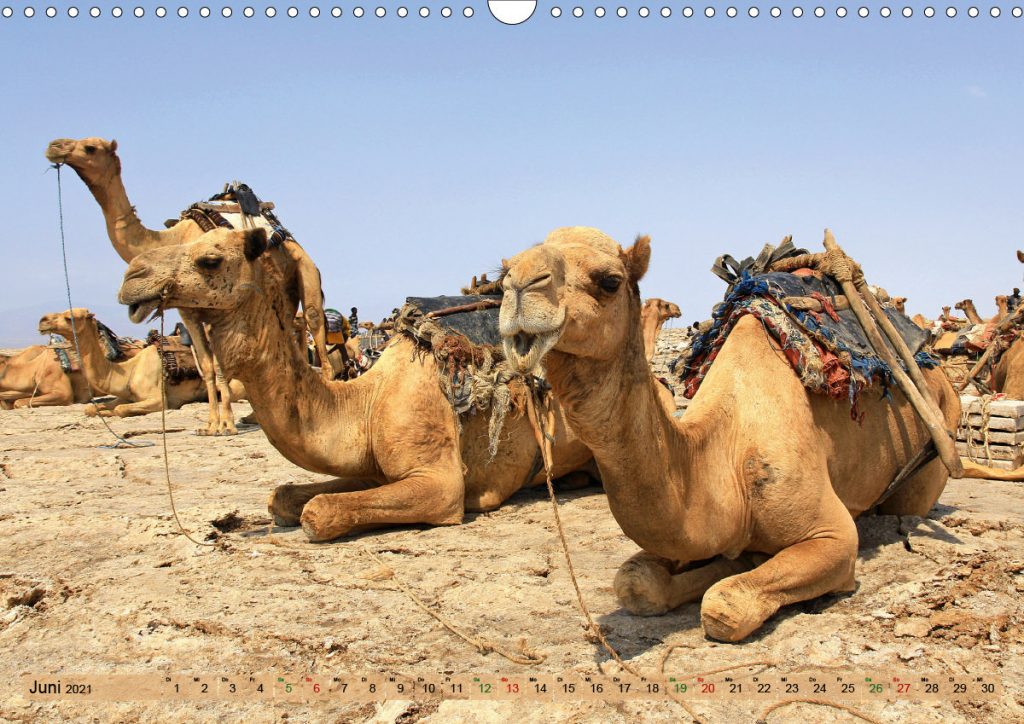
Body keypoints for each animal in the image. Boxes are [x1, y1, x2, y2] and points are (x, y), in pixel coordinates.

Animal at [38, 309, 208, 417]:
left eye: (69, 317)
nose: (42, 320)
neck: (131, 370)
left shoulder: (159, 400)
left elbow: (120, 410)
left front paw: (109, 412)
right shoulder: (126, 396)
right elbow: (91, 408)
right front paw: (103, 411)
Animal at [117, 227, 595, 542]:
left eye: (209, 259)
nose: (132, 277)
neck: (366, 400)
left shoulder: (441, 482)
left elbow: (316, 512)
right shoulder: (371, 468)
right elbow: (284, 497)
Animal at [497, 226, 960, 642]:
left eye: (609, 280)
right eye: (503, 270)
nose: (518, 283)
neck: (725, 450)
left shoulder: (834, 536)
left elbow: (724, 606)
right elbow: (635, 582)